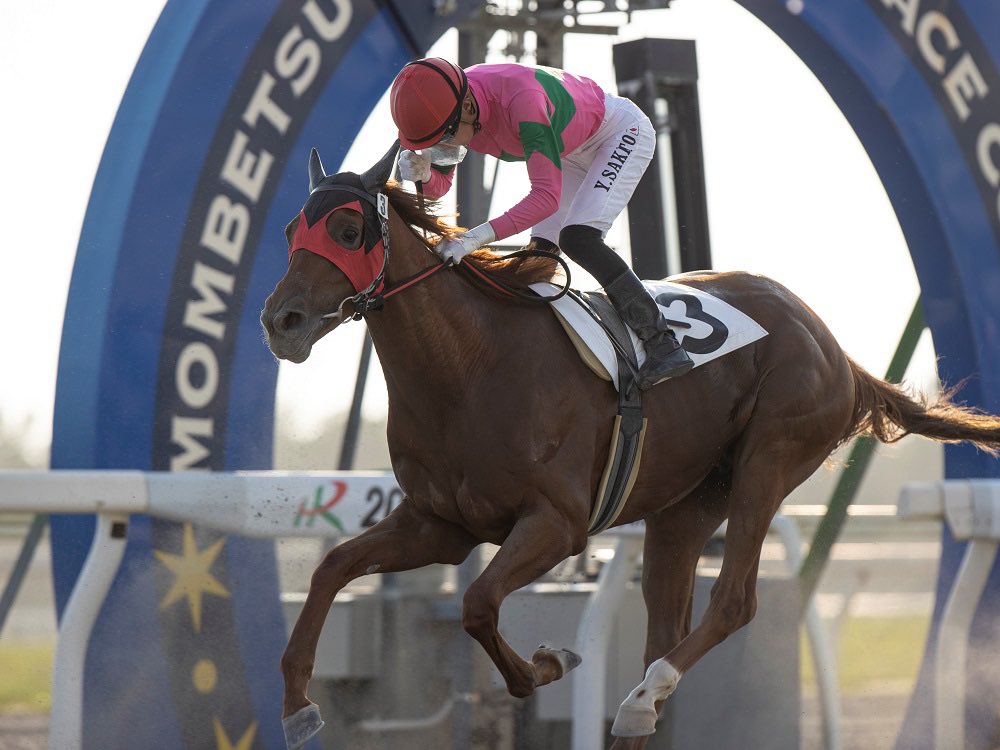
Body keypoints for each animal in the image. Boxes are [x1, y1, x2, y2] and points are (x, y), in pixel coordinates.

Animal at [260, 142, 1000, 750]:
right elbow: (333, 567)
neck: (468, 367)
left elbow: (478, 605)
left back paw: (644, 696)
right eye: (295, 231)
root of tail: (840, 354)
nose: (280, 321)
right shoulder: (441, 525)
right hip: (686, 507)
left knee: (734, 602)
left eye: (350, 231)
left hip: (770, 457)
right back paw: (641, 705)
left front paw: (551, 662)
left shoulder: (557, 524)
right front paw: (297, 704)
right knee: (667, 625)